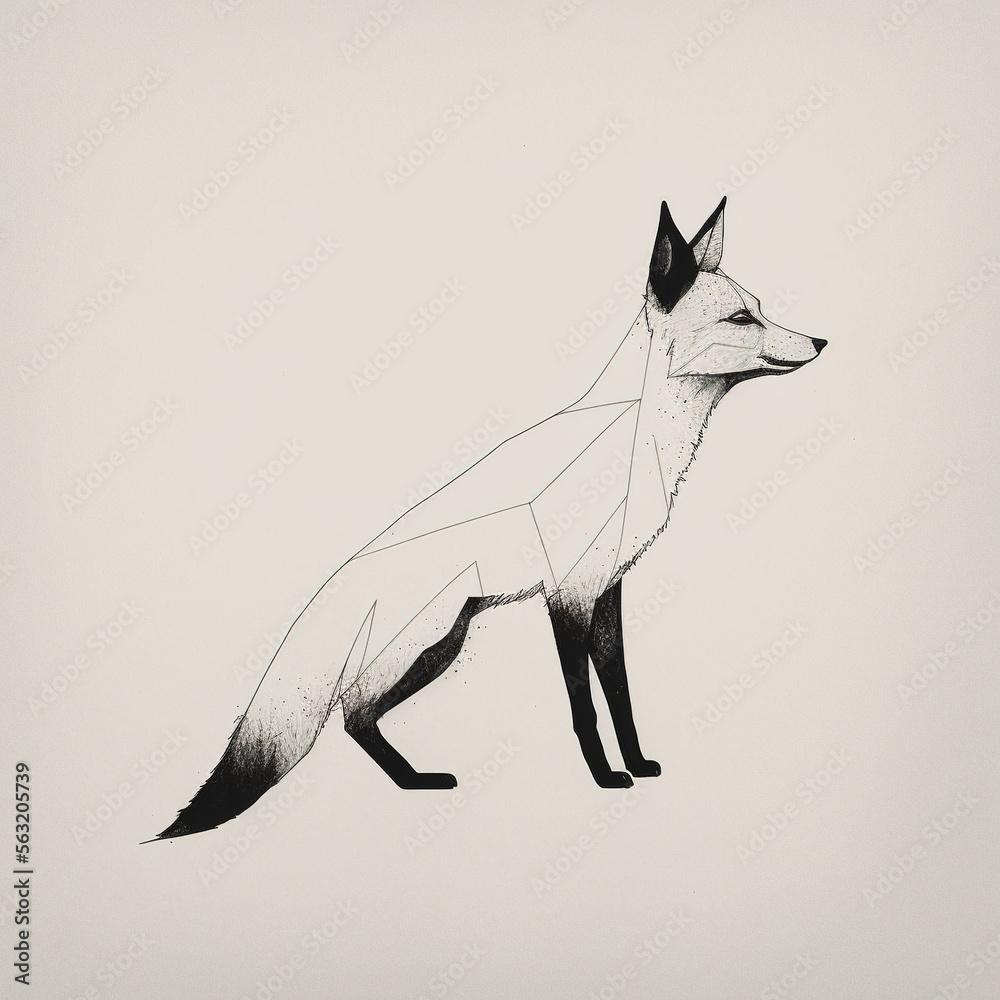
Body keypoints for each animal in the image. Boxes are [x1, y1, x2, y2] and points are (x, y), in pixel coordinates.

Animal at [155, 196, 826, 840]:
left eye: (761, 309)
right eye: (742, 319)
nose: (821, 343)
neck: (639, 440)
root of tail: (343, 575)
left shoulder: (605, 589)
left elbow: (620, 697)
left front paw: (637, 764)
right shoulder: (567, 596)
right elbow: (584, 707)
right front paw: (605, 778)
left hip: (442, 646)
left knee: (356, 716)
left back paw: (414, 780)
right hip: (424, 646)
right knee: (351, 713)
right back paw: (414, 782)